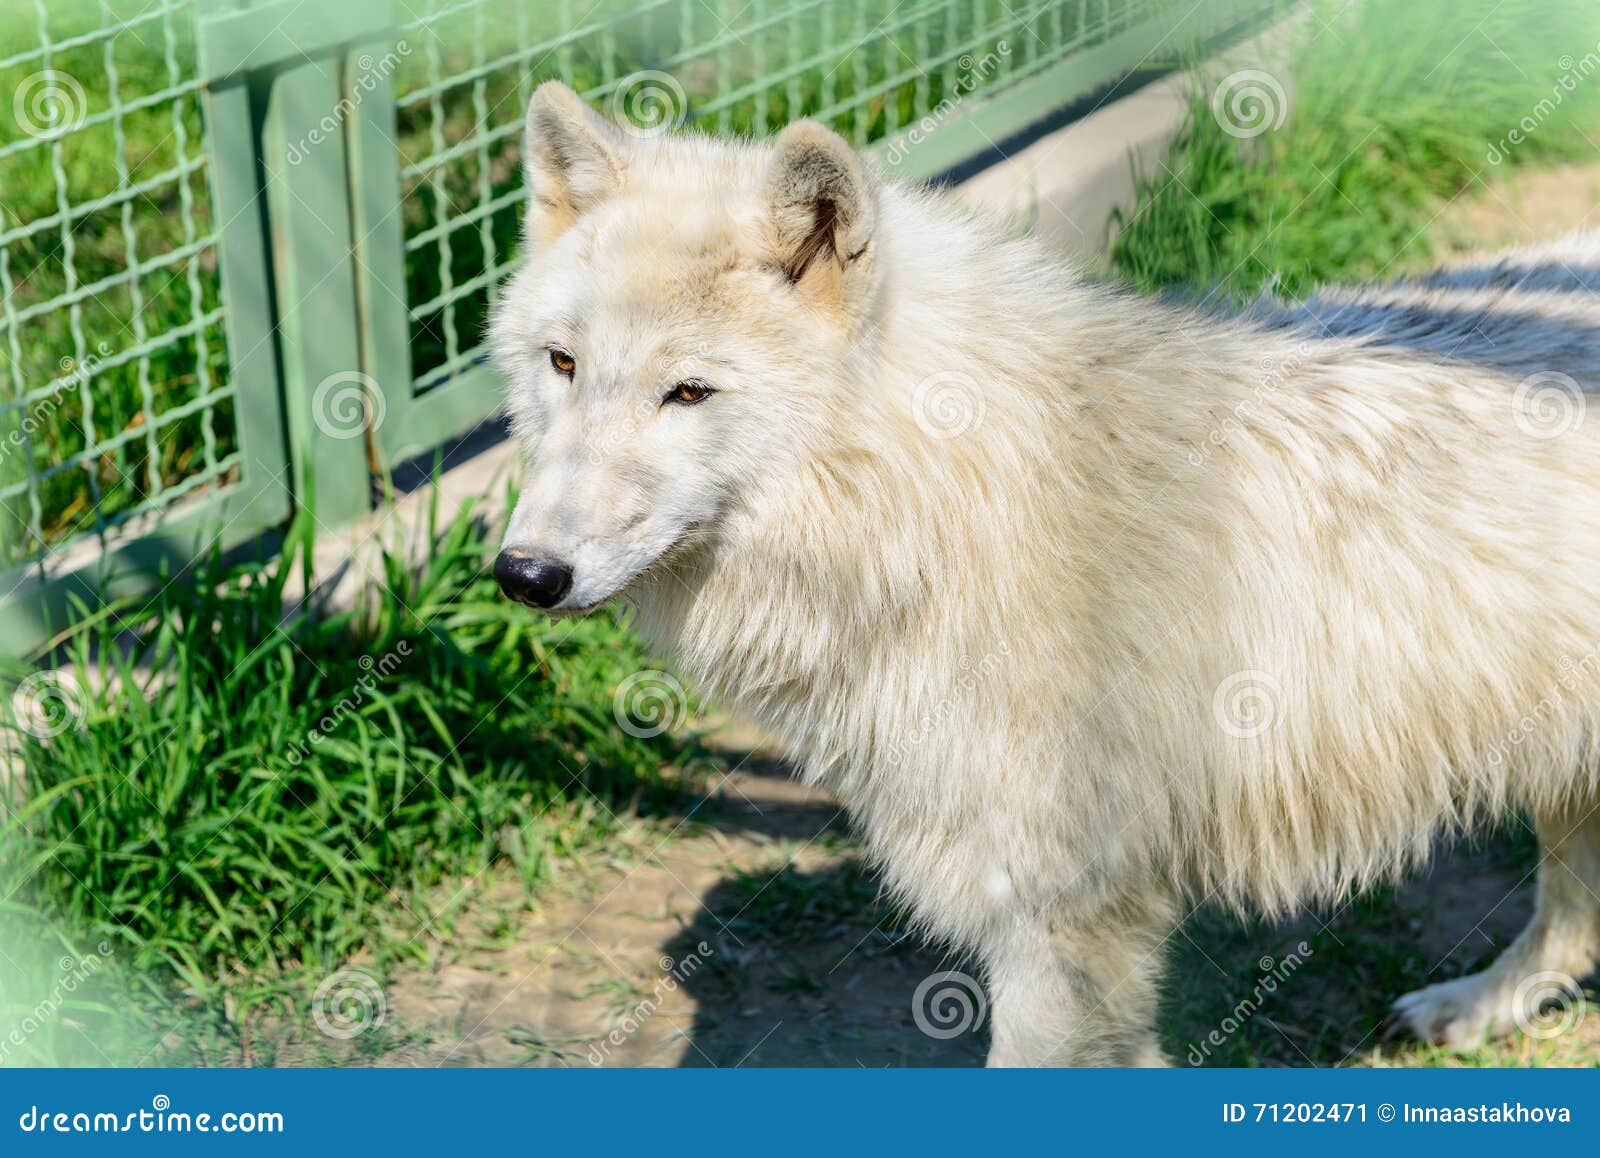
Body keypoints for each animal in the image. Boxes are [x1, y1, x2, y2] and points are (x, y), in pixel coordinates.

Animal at [489, 80, 1600, 1065]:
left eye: (688, 392)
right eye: (563, 365)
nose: (525, 573)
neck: (940, 504)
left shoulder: (1060, 921)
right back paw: (1478, 1007)